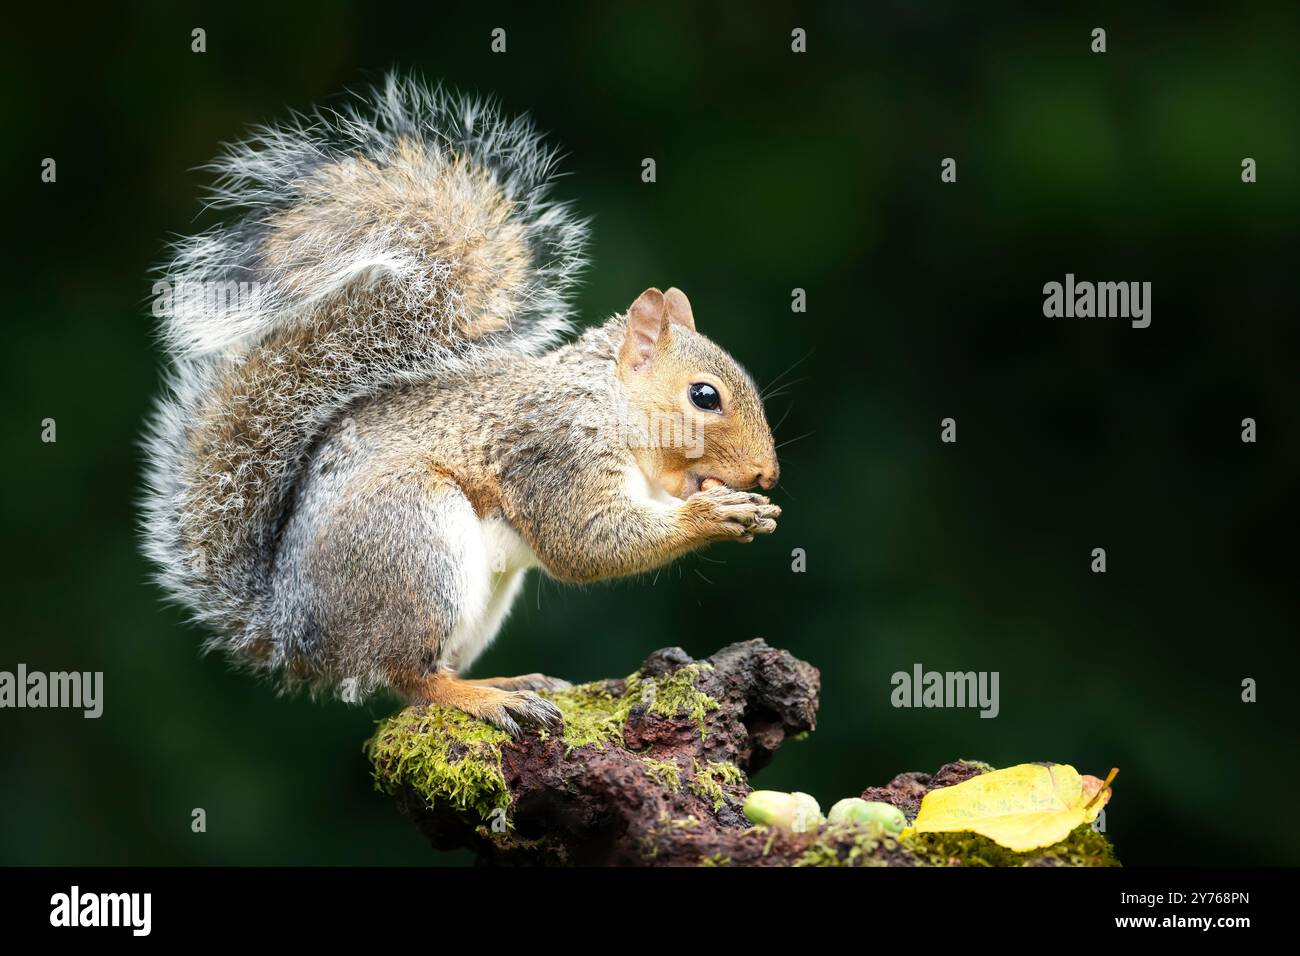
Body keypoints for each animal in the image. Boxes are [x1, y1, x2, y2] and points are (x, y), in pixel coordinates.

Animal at [142, 76, 781, 734]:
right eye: (704, 396)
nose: (768, 475)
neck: (609, 405)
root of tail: (298, 636)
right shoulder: (555, 450)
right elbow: (586, 541)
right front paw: (712, 516)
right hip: (415, 543)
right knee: (409, 677)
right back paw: (486, 698)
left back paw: (506, 681)